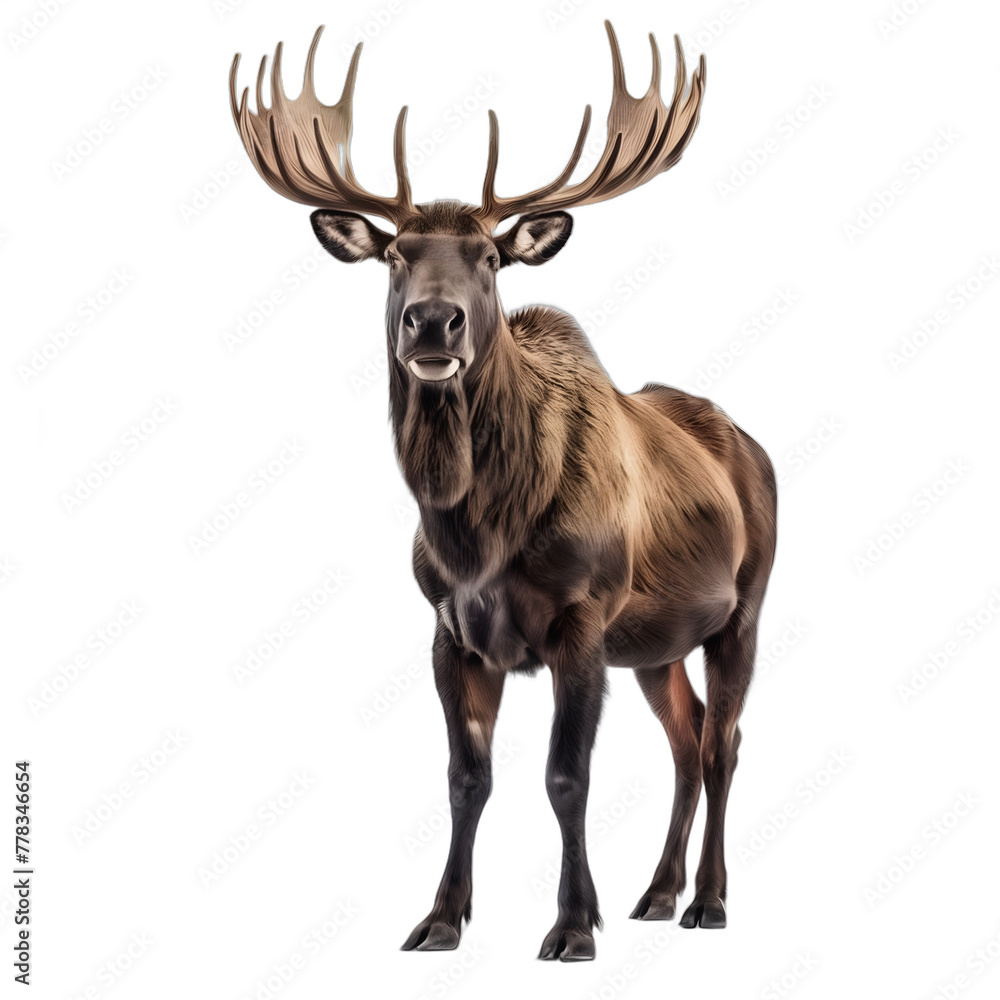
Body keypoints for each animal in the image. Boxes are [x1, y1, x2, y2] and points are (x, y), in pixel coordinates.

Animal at [229, 21, 777, 962]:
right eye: (394, 256)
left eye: (489, 256)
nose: (433, 322)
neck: (480, 533)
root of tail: (756, 448)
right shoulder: (450, 629)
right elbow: (465, 775)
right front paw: (441, 918)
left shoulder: (583, 618)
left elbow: (566, 777)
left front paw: (573, 925)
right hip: (658, 644)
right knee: (686, 735)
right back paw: (657, 893)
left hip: (745, 605)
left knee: (723, 741)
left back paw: (708, 900)